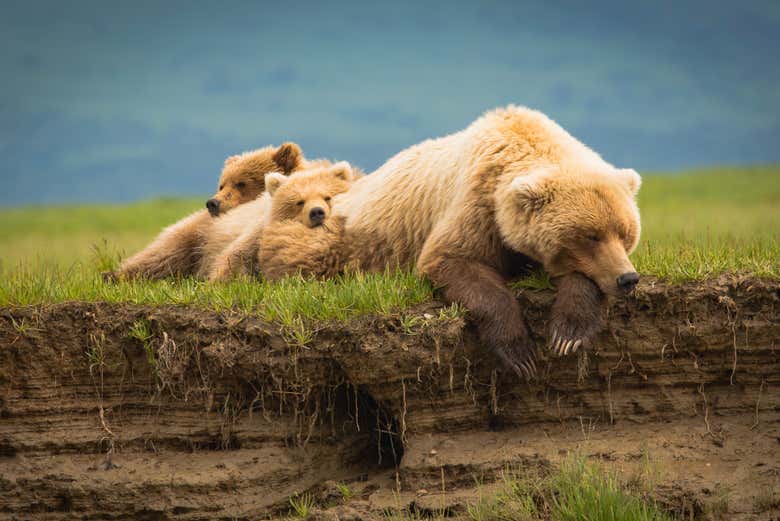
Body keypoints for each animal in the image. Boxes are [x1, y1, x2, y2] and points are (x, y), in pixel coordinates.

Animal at [256, 106, 641, 379]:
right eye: (590, 235)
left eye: (624, 233)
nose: (628, 278)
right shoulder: (477, 205)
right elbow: (453, 261)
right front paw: (520, 354)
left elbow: (579, 279)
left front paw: (567, 334)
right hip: (341, 233)